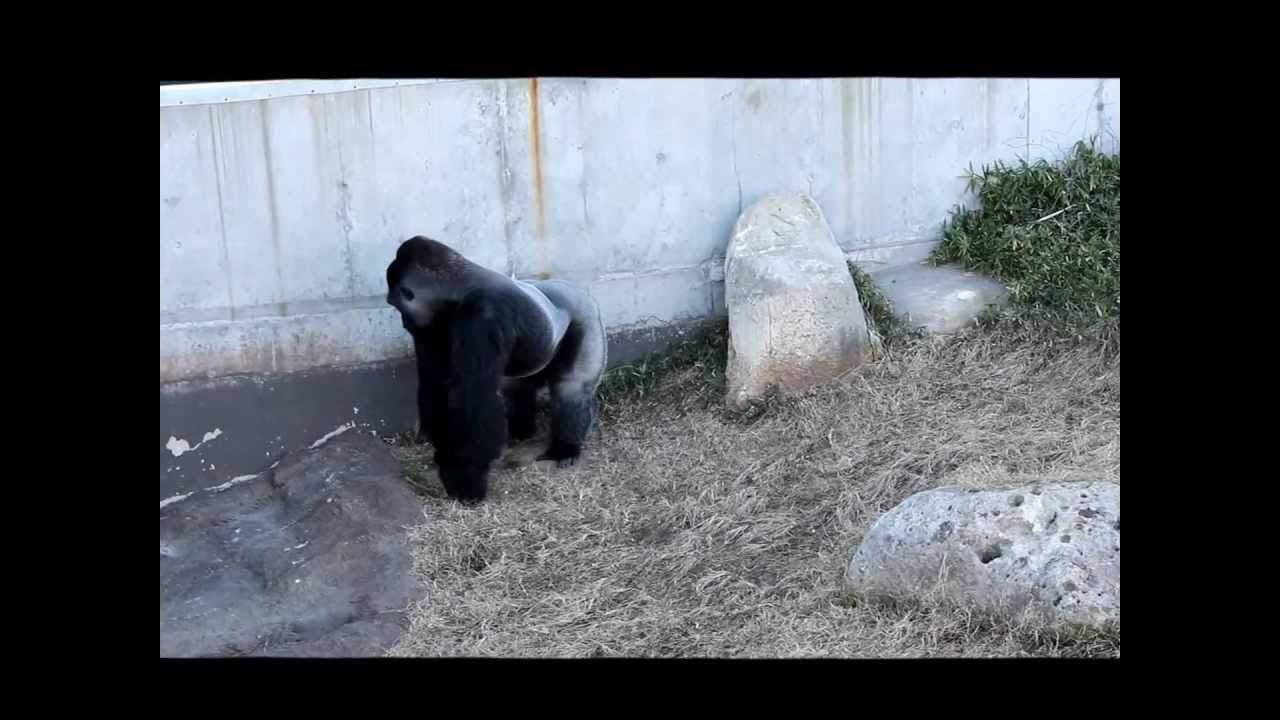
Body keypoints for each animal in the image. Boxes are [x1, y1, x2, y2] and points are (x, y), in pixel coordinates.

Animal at [385, 236, 607, 503]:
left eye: (395, 303)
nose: (403, 322)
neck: (459, 288)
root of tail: (578, 290)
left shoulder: (484, 315)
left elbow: (473, 395)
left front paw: (464, 479)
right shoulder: (432, 326)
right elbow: (435, 383)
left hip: (587, 318)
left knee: (572, 388)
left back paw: (565, 448)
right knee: (518, 389)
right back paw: (520, 432)